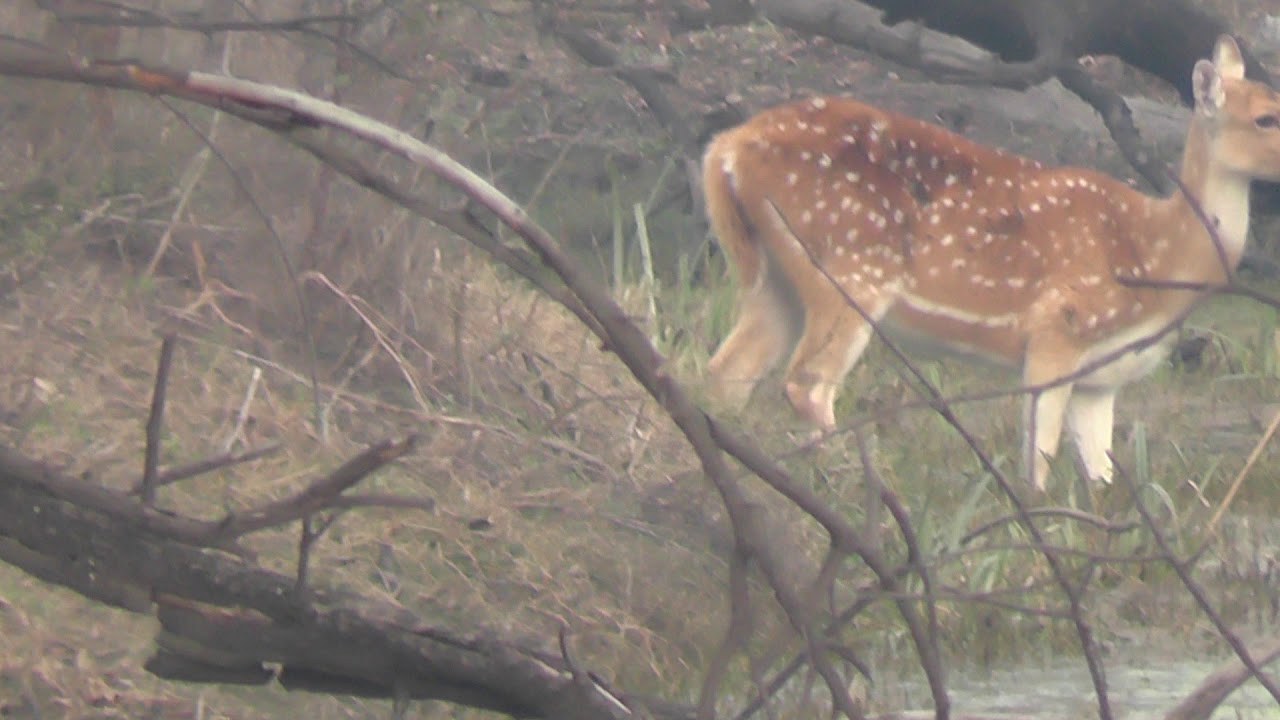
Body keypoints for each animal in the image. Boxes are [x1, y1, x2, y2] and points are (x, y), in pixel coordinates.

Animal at [702, 35, 1280, 491]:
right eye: (1265, 117)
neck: (1157, 257)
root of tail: (726, 148)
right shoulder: (1057, 328)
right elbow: (1039, 461)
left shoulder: (1101, 380)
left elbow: (1103, 480)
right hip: (849, 269)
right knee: (806, 382)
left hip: (775, 279)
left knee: (727, 374)